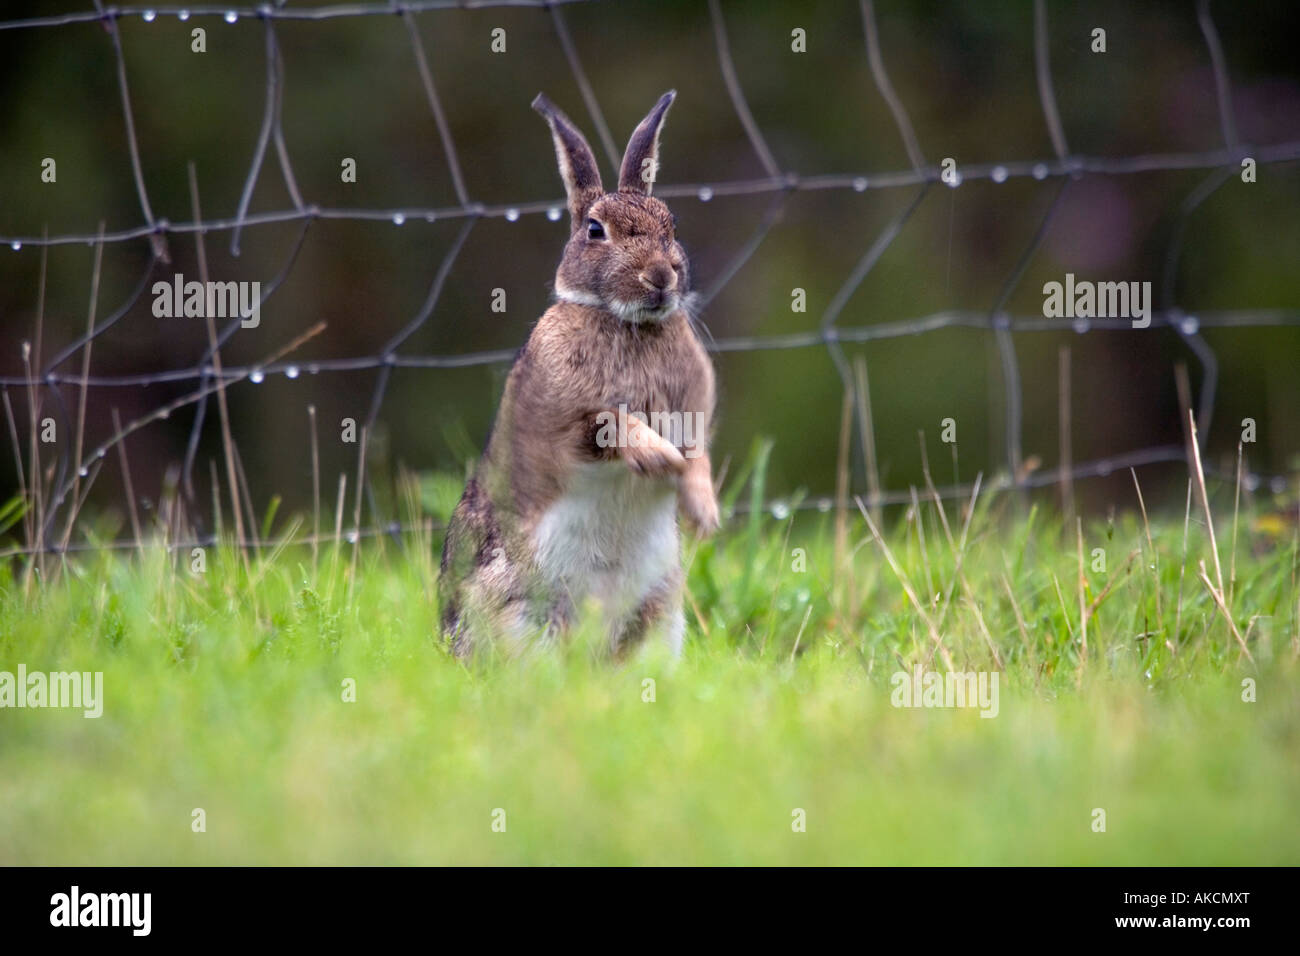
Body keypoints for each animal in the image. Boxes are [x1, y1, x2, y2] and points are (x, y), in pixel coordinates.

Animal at [439, 89, 719, 660]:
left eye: (672, 226)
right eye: (595, 231)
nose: (661, 276)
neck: (627, 322)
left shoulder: (695, 408)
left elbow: (698, 453)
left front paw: (703, 510)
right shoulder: (560, 421)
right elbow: (606, 426)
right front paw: (657, 457)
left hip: (659, 614)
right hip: (519, 612)